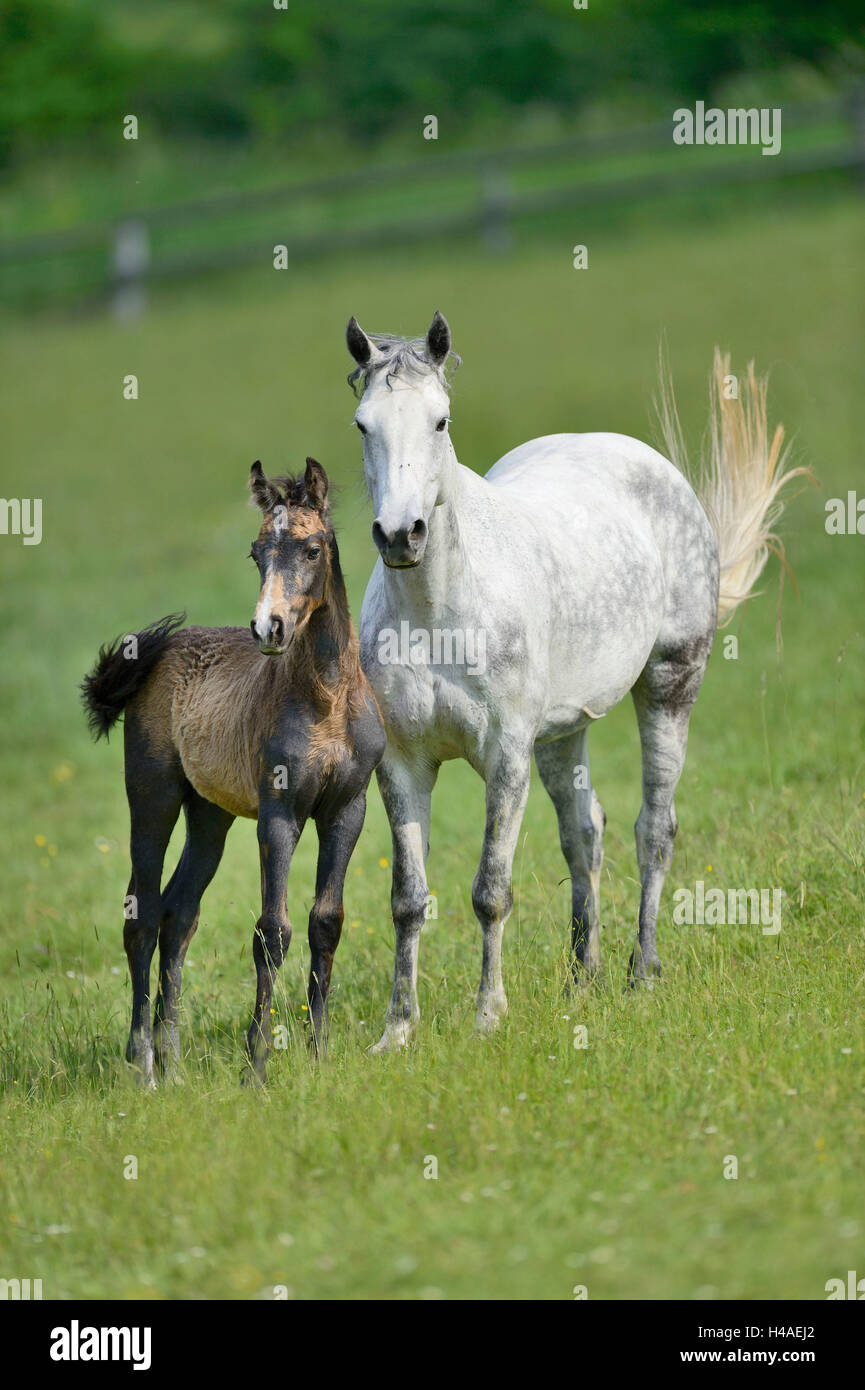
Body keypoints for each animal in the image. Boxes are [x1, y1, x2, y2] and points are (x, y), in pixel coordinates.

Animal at [81, 457, 385, 1084]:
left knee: (179, 914)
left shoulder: (348, 809)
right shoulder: (280, 813)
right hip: (153, 799)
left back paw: (173, 1063)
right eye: (256, 552)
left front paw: (319, 1056)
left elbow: (326, 922)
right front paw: (257, 1067)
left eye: (312, 548)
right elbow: (272, 932)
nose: (268, 629)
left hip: (209, 817)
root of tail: (158, 654)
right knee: (142, 915)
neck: (328, 700)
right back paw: (144, 1064)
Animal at [346, 312, 806, 1052]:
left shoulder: (506, 756)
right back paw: (582, 977)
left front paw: (488, 1015)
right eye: (365, 424)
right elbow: (408, 900)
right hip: (562, 734)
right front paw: (397, 1031)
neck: (438, 612)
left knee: (654, 829)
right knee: (584, 834)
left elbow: (491, 890)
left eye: (440, 421)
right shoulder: (403, 764)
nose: (400, 534)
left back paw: (642, 971)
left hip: (670, 686)